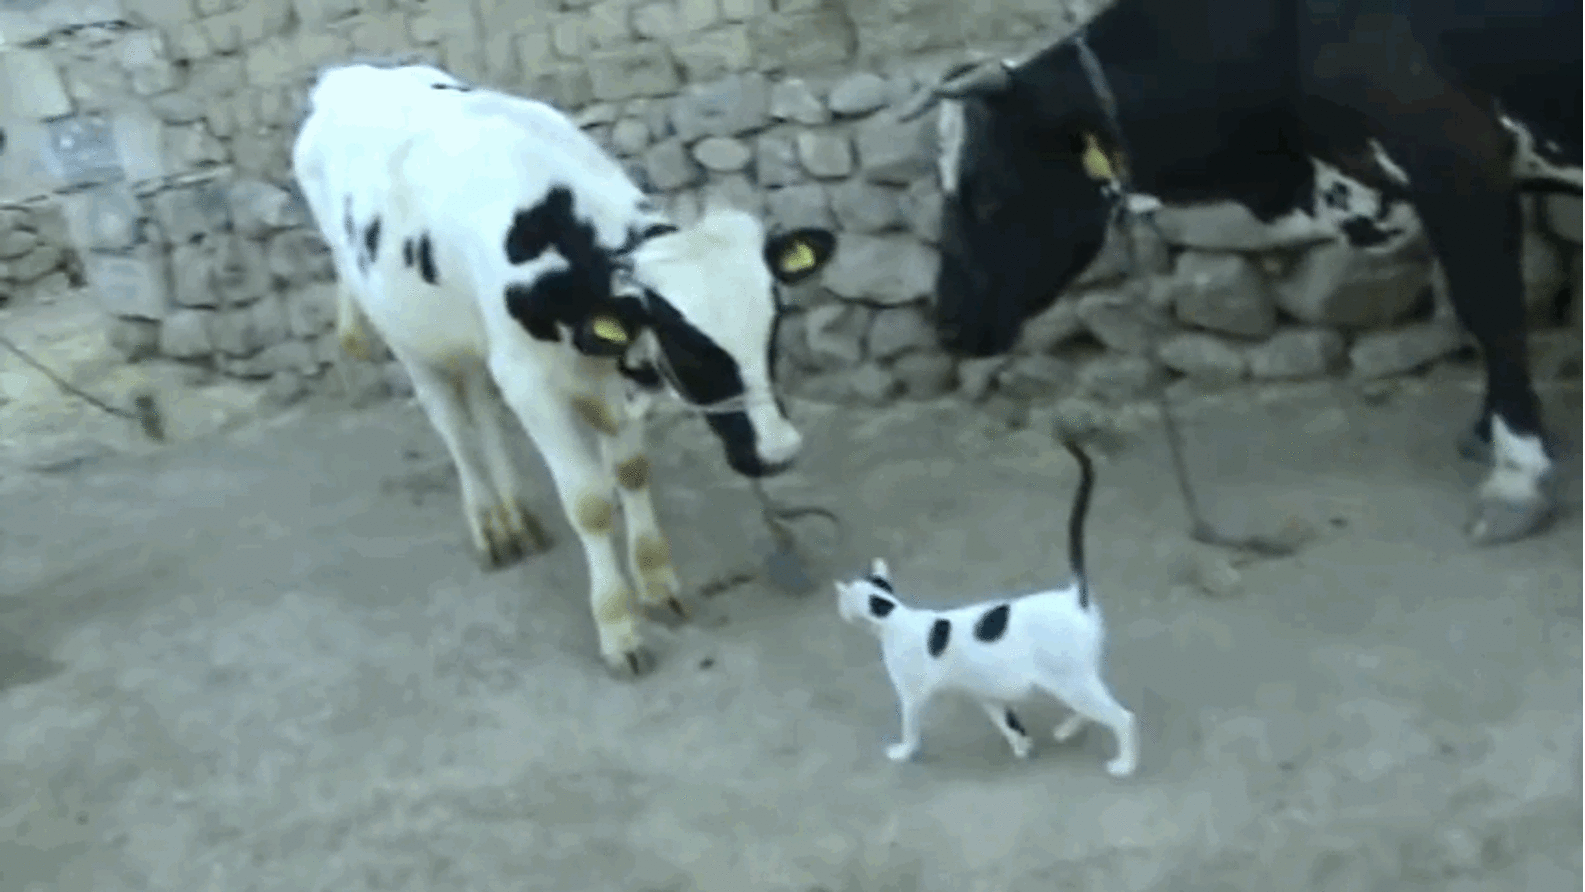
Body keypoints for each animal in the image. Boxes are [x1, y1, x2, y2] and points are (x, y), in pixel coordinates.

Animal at [291, 62, 838, 676]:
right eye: (688, 345)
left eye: (775, 321)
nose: (777, 452)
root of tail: (346, 75)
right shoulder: (532, 384)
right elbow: (591, 504)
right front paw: (619, 628)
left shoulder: (609, 376)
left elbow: (632, 473)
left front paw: (657, 585)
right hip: (403, 331)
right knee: (452, 425)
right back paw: (491, 528)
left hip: (471, 336)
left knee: (480, 405)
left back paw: (517, 518)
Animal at [915, 0, 1582, 546]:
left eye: (989, 193)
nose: (948, 323)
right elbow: (1485, 309)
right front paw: (1491, 429)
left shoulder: (1456, 161)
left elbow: (1491, 309)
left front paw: (1518, 477)